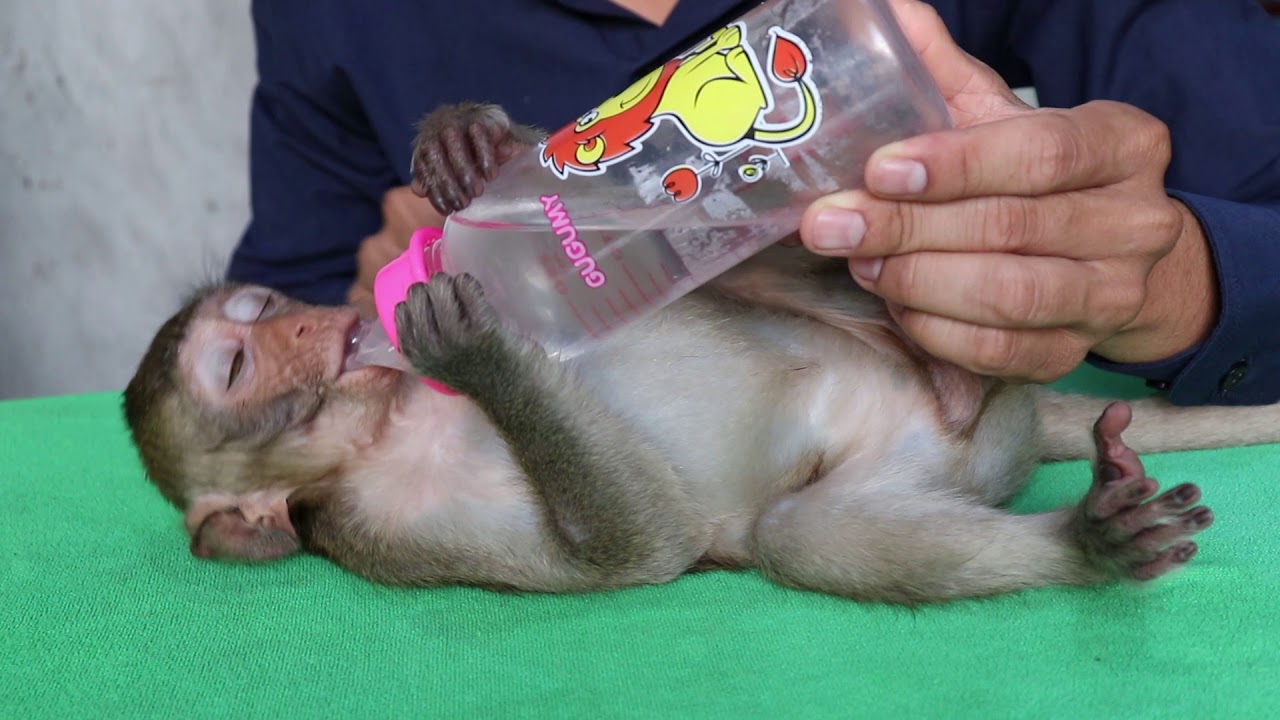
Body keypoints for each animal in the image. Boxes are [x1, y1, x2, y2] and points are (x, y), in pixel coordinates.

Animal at [121, 101, 1280, 605]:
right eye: (235, 370)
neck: (393, 411)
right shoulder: (378, 527)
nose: (313, 329)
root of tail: (986, 416)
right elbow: (644, 549)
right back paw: (1085, 544)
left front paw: (467, 157)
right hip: (942, 462)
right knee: (806, 534)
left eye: (263, 306)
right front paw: (484, 350)